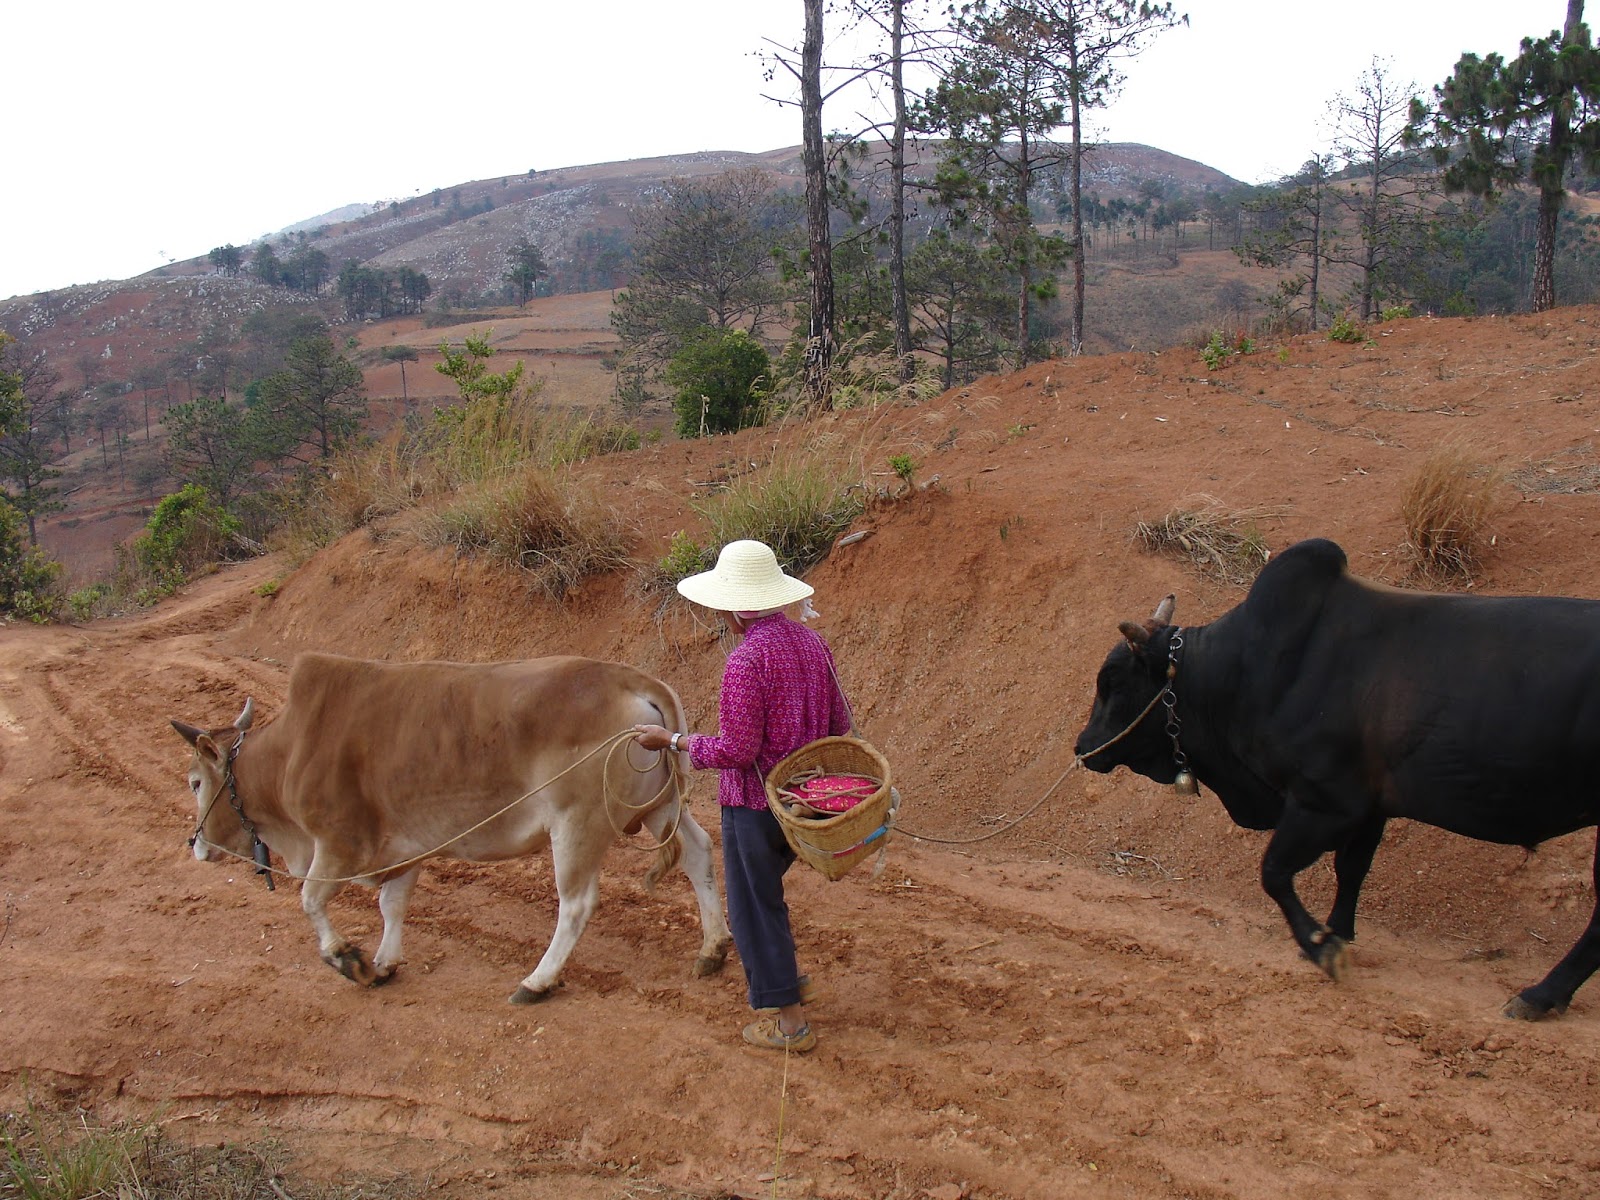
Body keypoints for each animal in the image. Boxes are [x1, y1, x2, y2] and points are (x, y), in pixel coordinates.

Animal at [171, 652, 732, 1003]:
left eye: (195, 781)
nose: (196, 845)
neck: (293, 750)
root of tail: (635, 681)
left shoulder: (336, 843)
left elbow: (310, 899)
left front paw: (347, 958)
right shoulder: (404, 848)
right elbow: (391, 905)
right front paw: (384, 962)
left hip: (578, 823)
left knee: (576, 904)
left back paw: (537, 981)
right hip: (660, 807)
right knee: (700, 853)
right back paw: (713, 947)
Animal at [1074, 537, 1600, 1021]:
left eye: (1113, 681)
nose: (1082, 747)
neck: (1245, 670)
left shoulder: (1323, 803)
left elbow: (1274, 872)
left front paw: (1320, 946)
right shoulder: (1370, 809)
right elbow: (1351, 870)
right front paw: (1338, 933)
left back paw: (1541, 995)